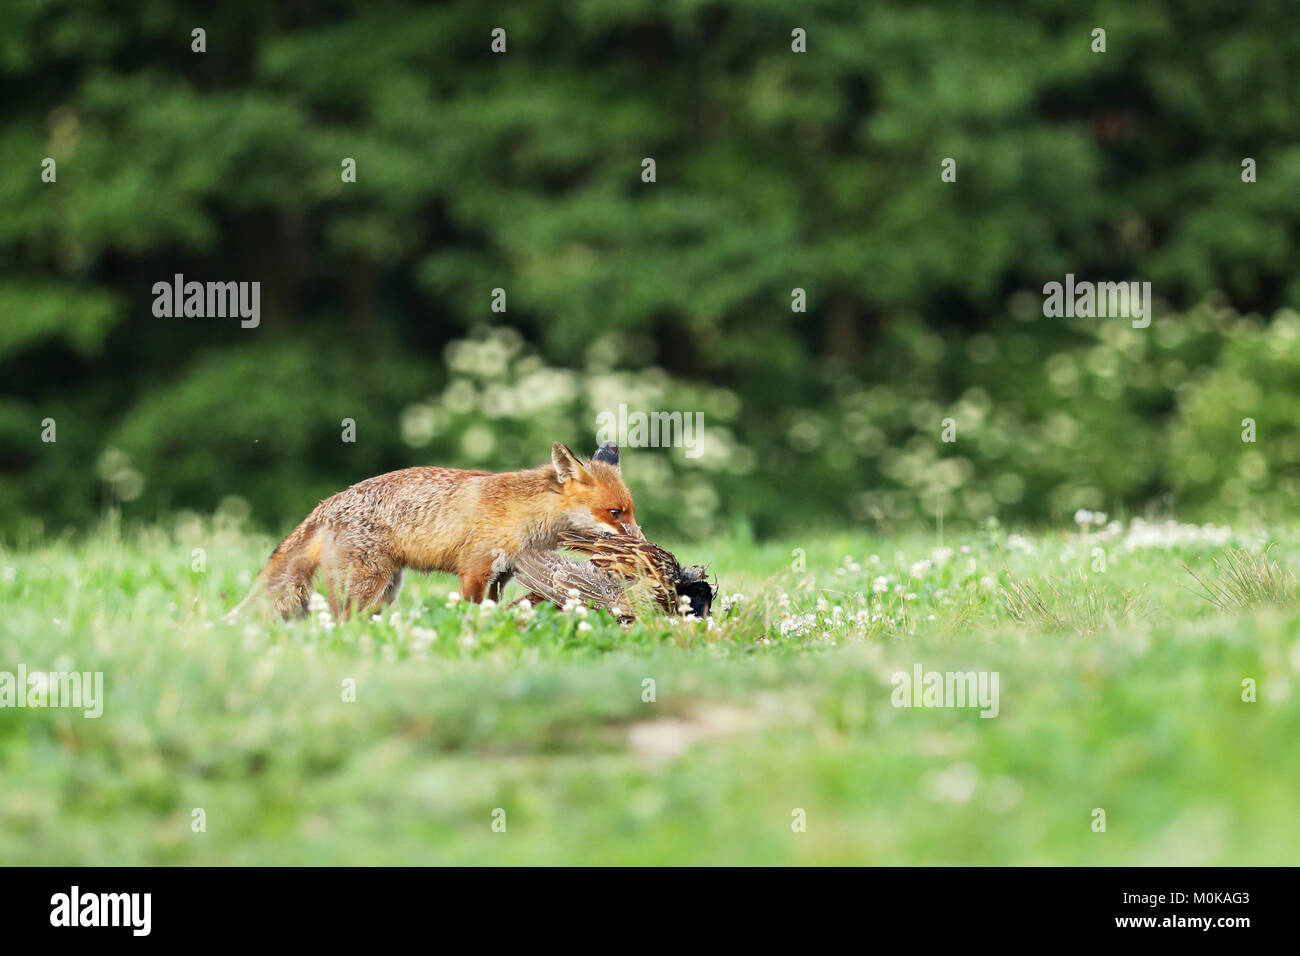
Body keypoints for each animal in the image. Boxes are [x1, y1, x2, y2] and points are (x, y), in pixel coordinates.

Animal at [223, 441, 641, 621]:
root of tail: (327, 503)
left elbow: (494, 607)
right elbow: (472, 611)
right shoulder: (474, 570)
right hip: (368, 585)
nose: (639, 540)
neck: (525, 514)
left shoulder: (501, 574)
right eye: (614, 512)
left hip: (387, 591)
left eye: (631, 511)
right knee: (339, 622)